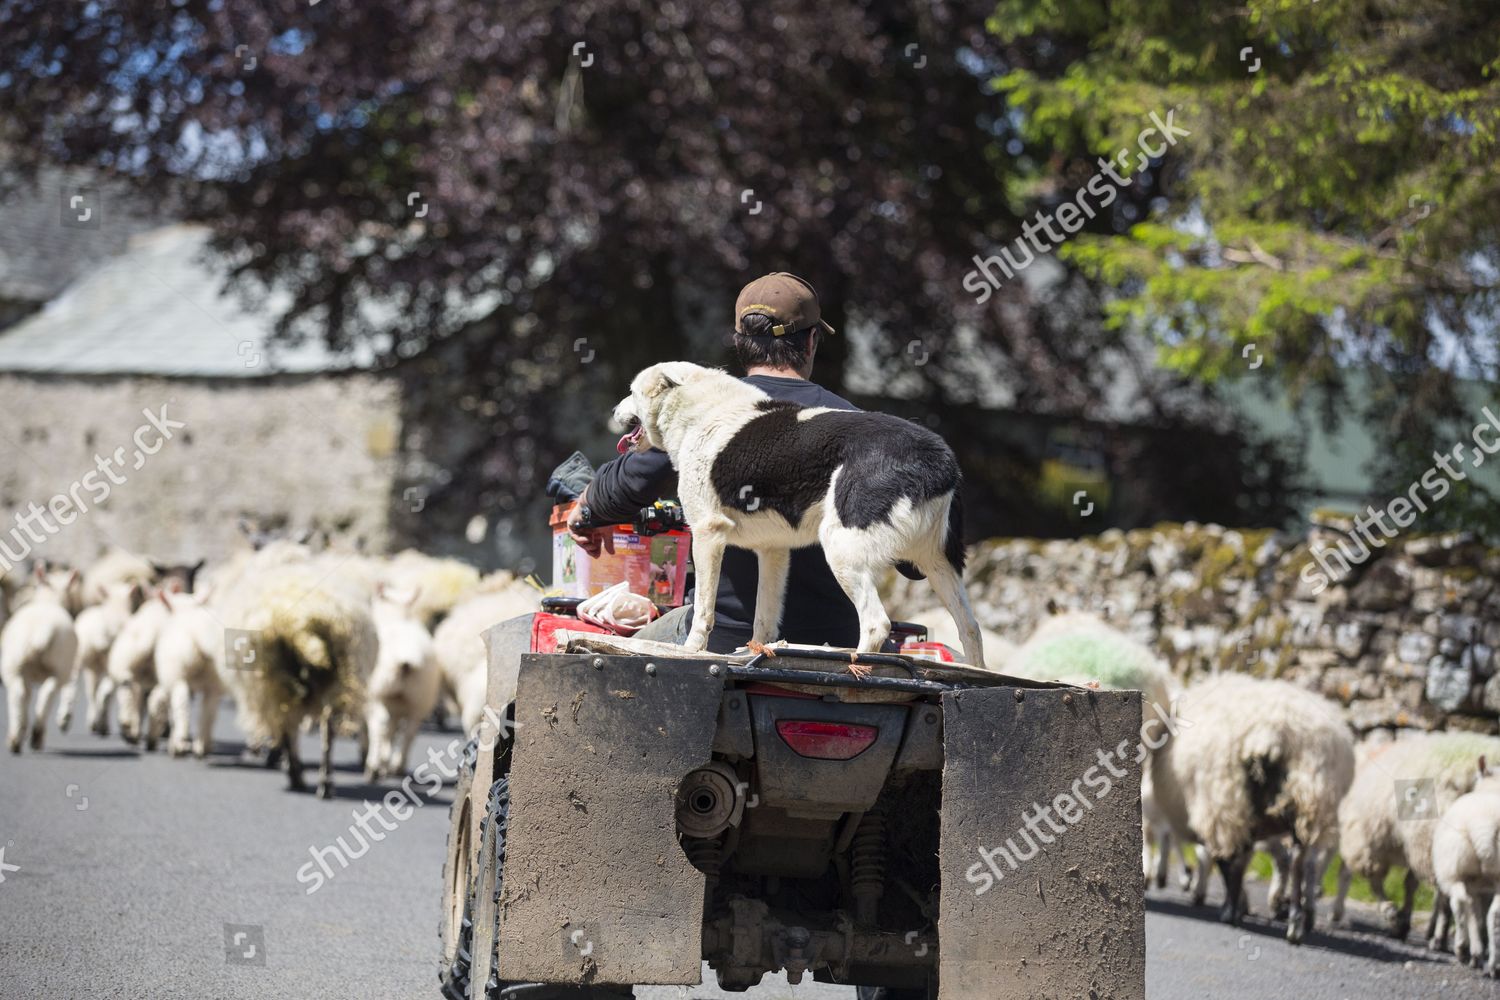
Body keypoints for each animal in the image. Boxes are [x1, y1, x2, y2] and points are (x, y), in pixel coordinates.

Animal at [0, 567, 80, 753]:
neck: (51, 600)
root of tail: (42, 631)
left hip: (17, 666)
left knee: (28, 694)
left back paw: (26, 738)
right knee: (32, 693)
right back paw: (24, 738)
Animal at [216, 557, 377, 798]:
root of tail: (302, 622)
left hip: (272, 685)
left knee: (289, 728)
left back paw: (296, 776)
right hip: (339, 677)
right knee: (327, 730)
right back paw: (325, 783)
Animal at [363, 584, 440, 779]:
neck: (396, 617)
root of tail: (406, 657)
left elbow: (385, 731)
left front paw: (381, 762)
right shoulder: (397, 706)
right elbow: (393, 732)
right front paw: (386, 762)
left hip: (378, 693)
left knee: (380, 726)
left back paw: (373, 767)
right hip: (420, 700)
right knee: (409, 733)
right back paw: (397, 766)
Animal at [1149, 673, 1355, 942]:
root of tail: (1274, 733)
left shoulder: (1221, 814)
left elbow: (1228, 862)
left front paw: (1235, 905)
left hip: (1228, 800)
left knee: (1236, 862)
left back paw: (1232, 913)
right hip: (1309, 800)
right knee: (1301, 861)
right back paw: (1297, 922)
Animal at [1433, 756, 1500, 974]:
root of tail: (1486, 824)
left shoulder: (1469, 882)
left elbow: (1471, 912)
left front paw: (1472, 951)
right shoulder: (1481, 887)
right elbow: (1478, 918)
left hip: (1453, 871)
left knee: (1460, 902)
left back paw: (1462, 949)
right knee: (1494, 915)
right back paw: (1493, 965)